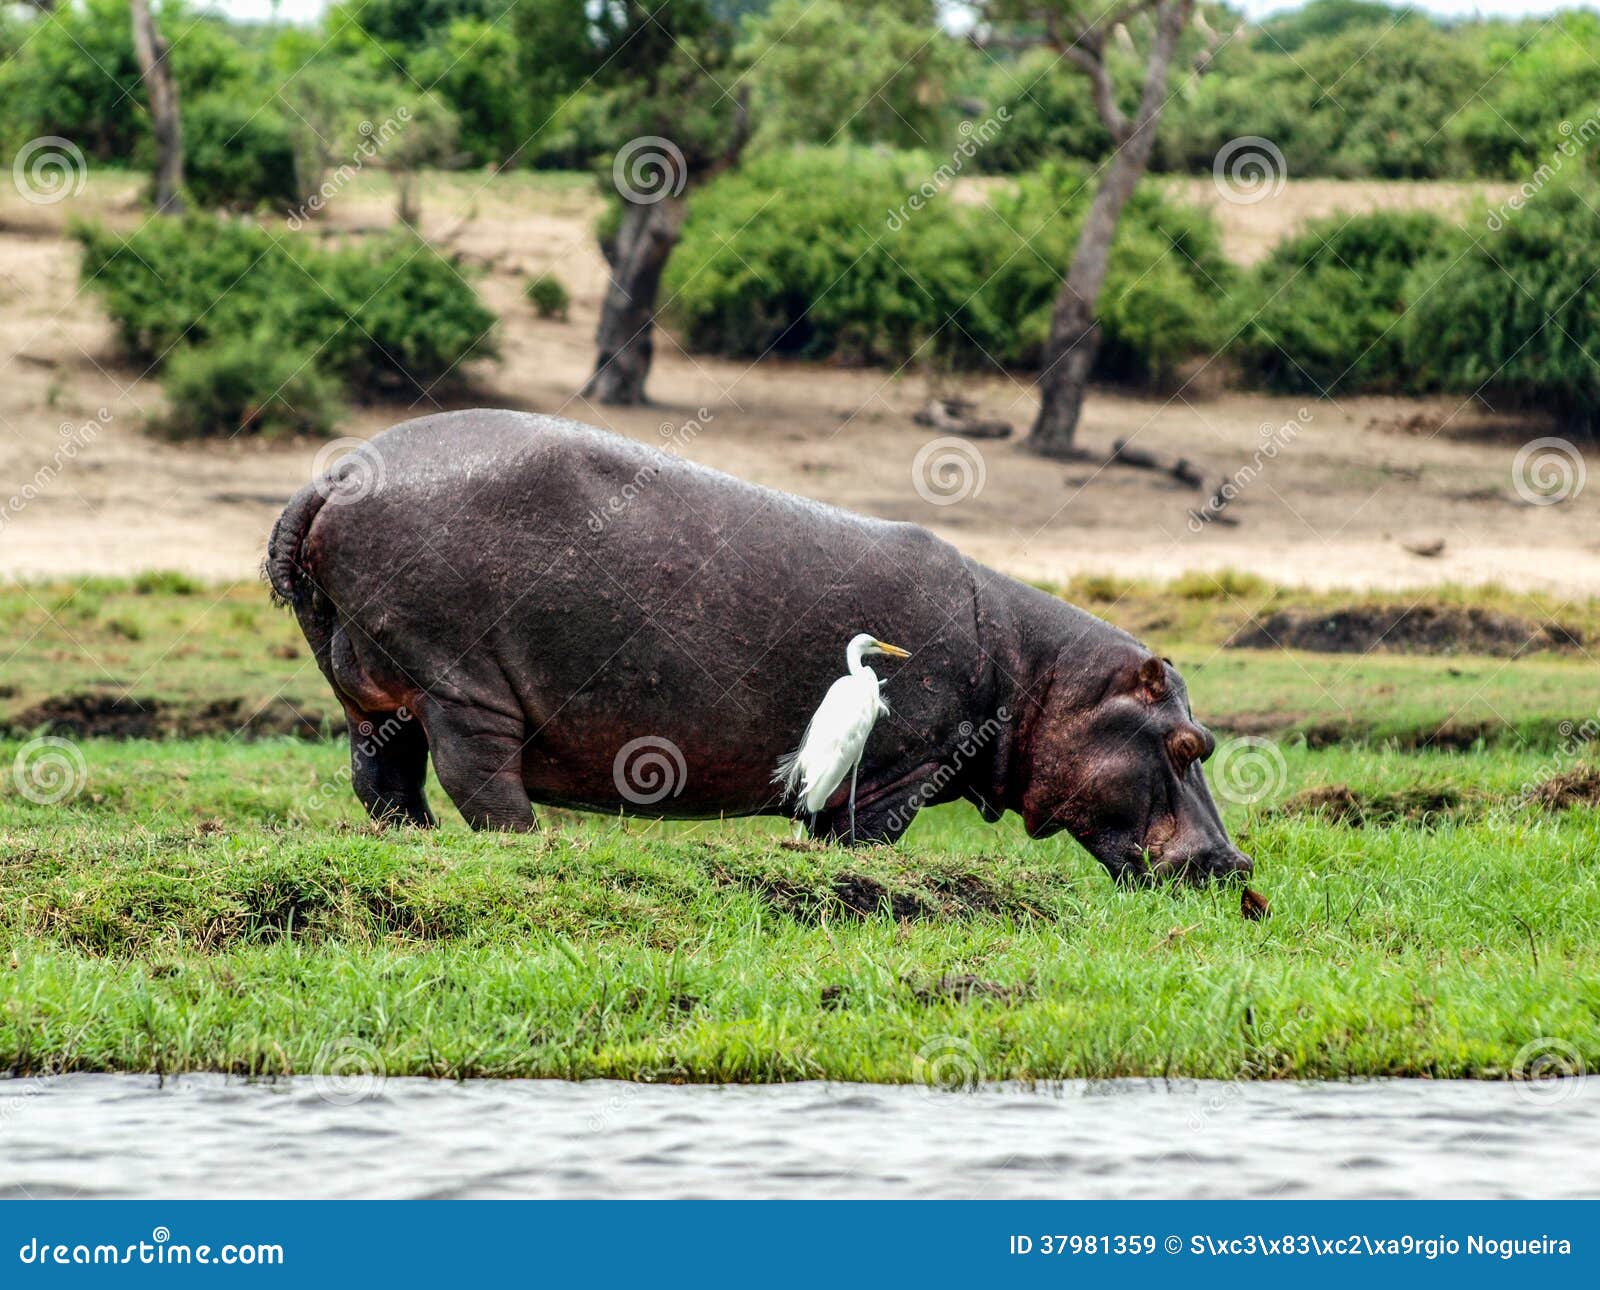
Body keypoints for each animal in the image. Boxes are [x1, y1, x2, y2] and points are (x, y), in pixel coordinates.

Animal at [267, 411, 1253, 886]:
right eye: (1190, 743)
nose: (1236, 865)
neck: (1042, 675)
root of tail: (329, 480)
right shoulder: (899, 769)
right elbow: (856, 835)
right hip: (460, 683)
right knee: (481, 782)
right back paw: (528, 842)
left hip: (371, 687)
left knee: (384, 779)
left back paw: (414, 839)